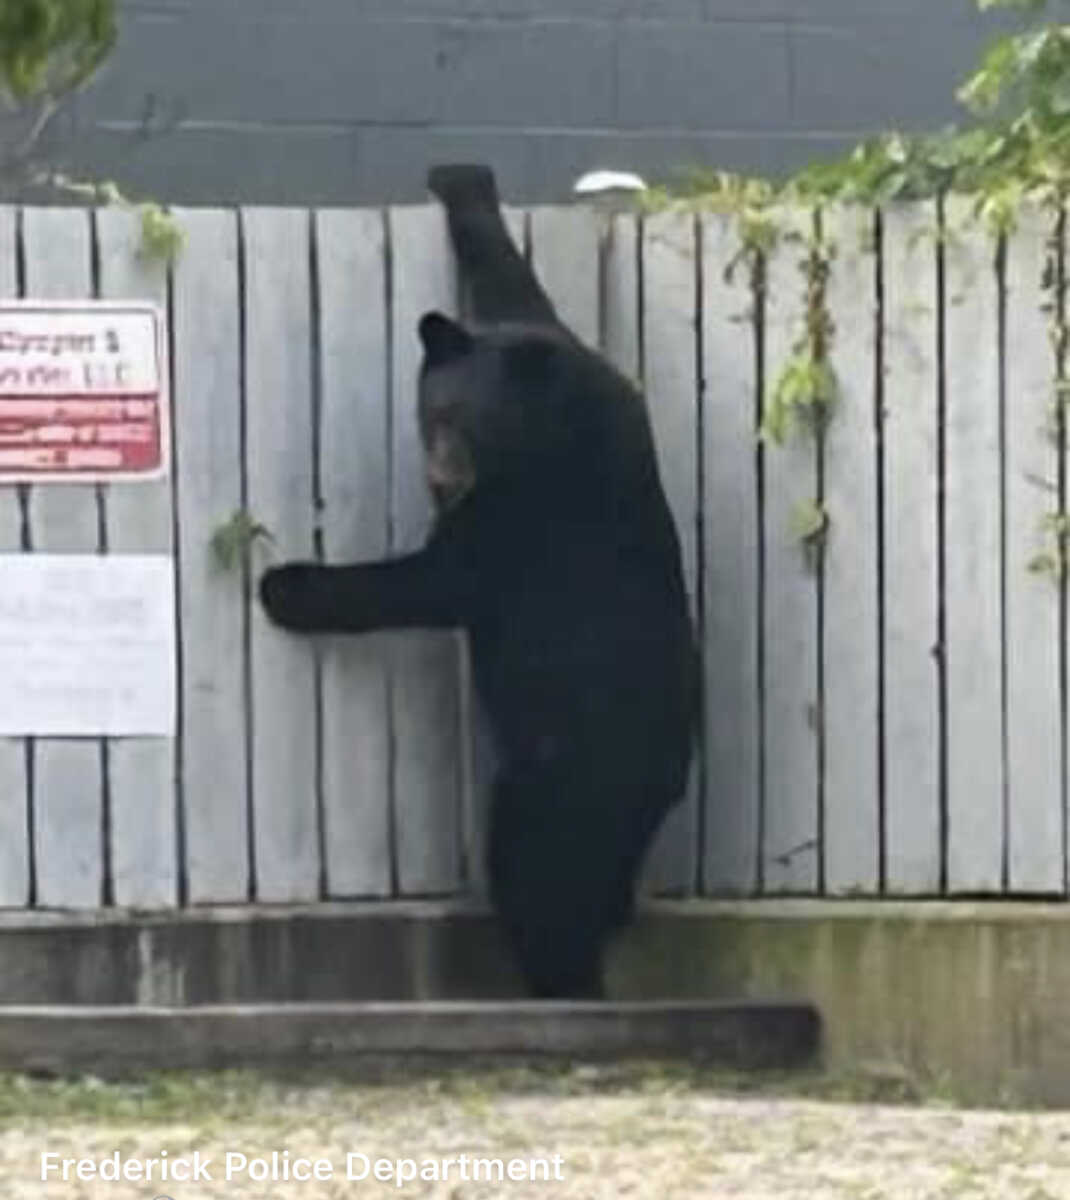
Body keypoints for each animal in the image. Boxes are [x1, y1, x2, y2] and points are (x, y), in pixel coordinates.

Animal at [259, 164, 698, 999]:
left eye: (468, 426)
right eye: (434, 413)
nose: (439, 478)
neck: (552, 413)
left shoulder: (528, 512)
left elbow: (433, 581)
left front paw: (285, 584)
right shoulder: (556, 344)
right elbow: (512, 282)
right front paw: (462, 179)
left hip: (567, 771)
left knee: (539, 871)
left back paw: (559, 976)